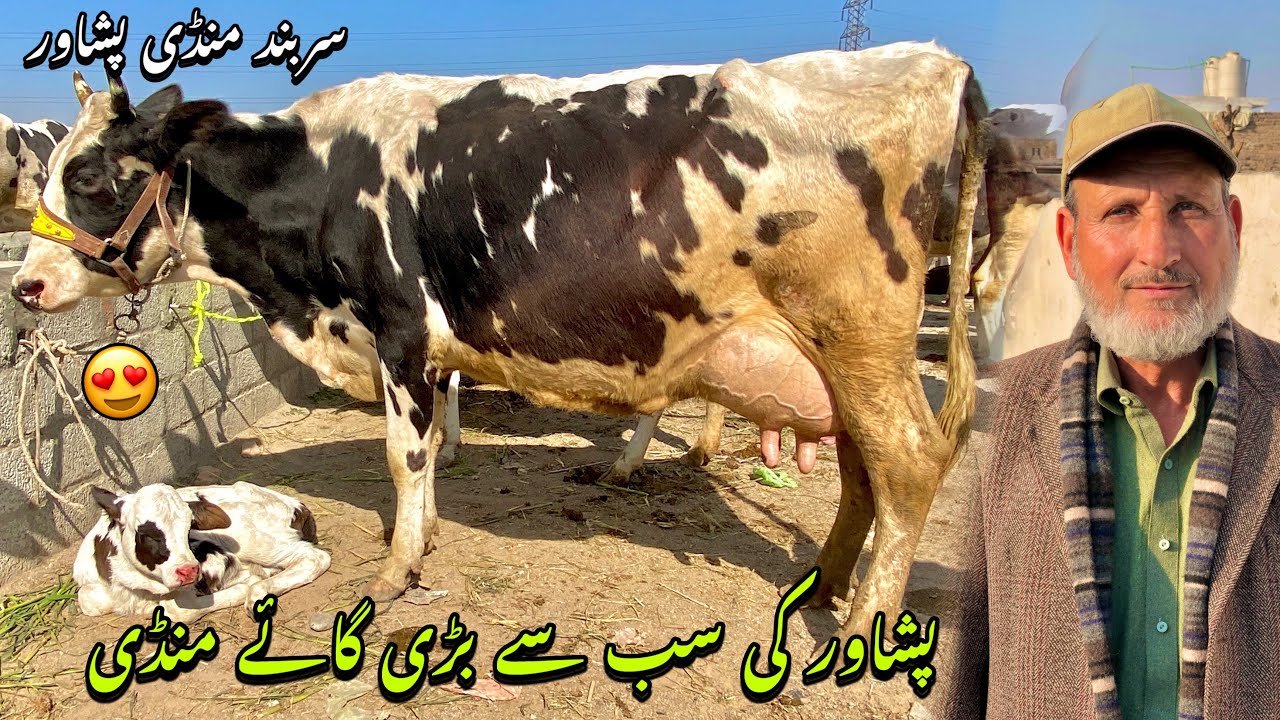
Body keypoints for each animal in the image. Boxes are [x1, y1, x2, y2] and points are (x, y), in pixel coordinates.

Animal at [74, 482, 330, 622]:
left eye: (190, 527)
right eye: (146, 534)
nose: (188, 571)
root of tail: (294, 504)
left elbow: (177, 610)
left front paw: (245, 586)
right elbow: (89, 601)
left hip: (249, 537)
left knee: (315, 557)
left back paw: (257, 592)